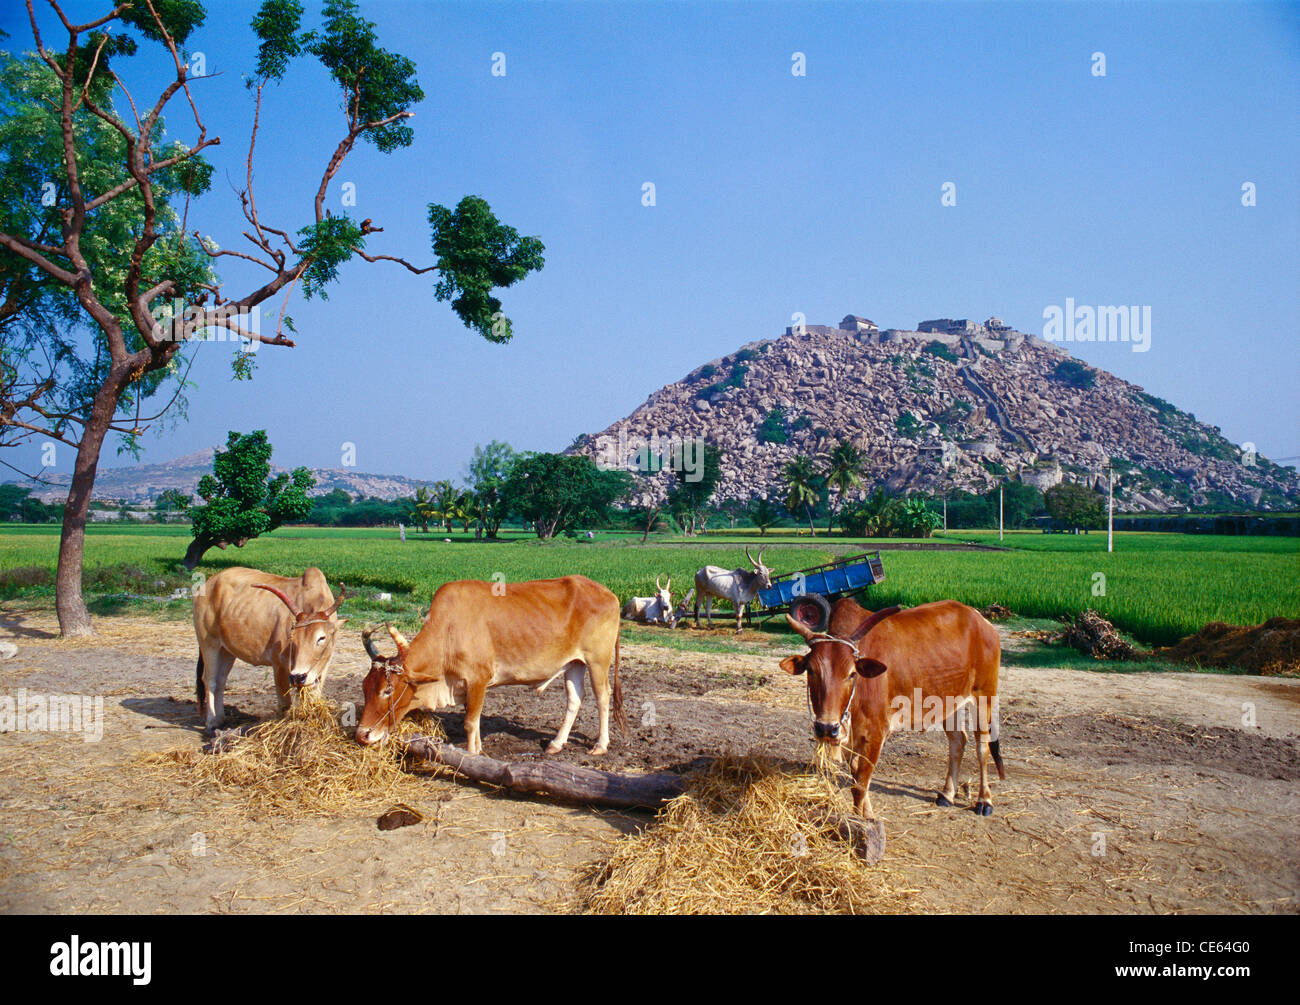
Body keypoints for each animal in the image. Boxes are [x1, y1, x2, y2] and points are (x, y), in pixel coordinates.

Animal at [192, 566, 347, 734]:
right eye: (292, 638)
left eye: (321, 638)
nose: (298, 677)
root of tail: (210, 582)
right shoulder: (279, 665)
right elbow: (285, 703)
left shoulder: (323, 668)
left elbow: (314, 695)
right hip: (209, 644)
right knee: (209, 680)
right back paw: (211, 722)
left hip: (226, 650)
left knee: (221, 680)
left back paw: (220, 719)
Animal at [354, 575, 625, 756]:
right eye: (365, 688)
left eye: (387, 690)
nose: (362, 735)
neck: (448, 630)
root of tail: (609, 593)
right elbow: (472, 722)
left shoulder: (478, 679)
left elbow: (470, 723)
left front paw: (473, 755)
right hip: (574, 664)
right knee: (575, 699)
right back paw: (556, 744)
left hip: (597, 661)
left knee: (603, 697)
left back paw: (600, 745)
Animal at [780, 597, 1004, 818]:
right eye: (811, 670)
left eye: (852, 674)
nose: (826, 728)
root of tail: (979, 619)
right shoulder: (851, 738)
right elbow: (858, 778)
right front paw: (868, 814)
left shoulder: (876, 733)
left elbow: (859, 787)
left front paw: (860, 820)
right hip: (949, 701)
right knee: (958, 741)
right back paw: (947, 795)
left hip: (984, 696)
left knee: (982, 747)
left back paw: (984, 801)